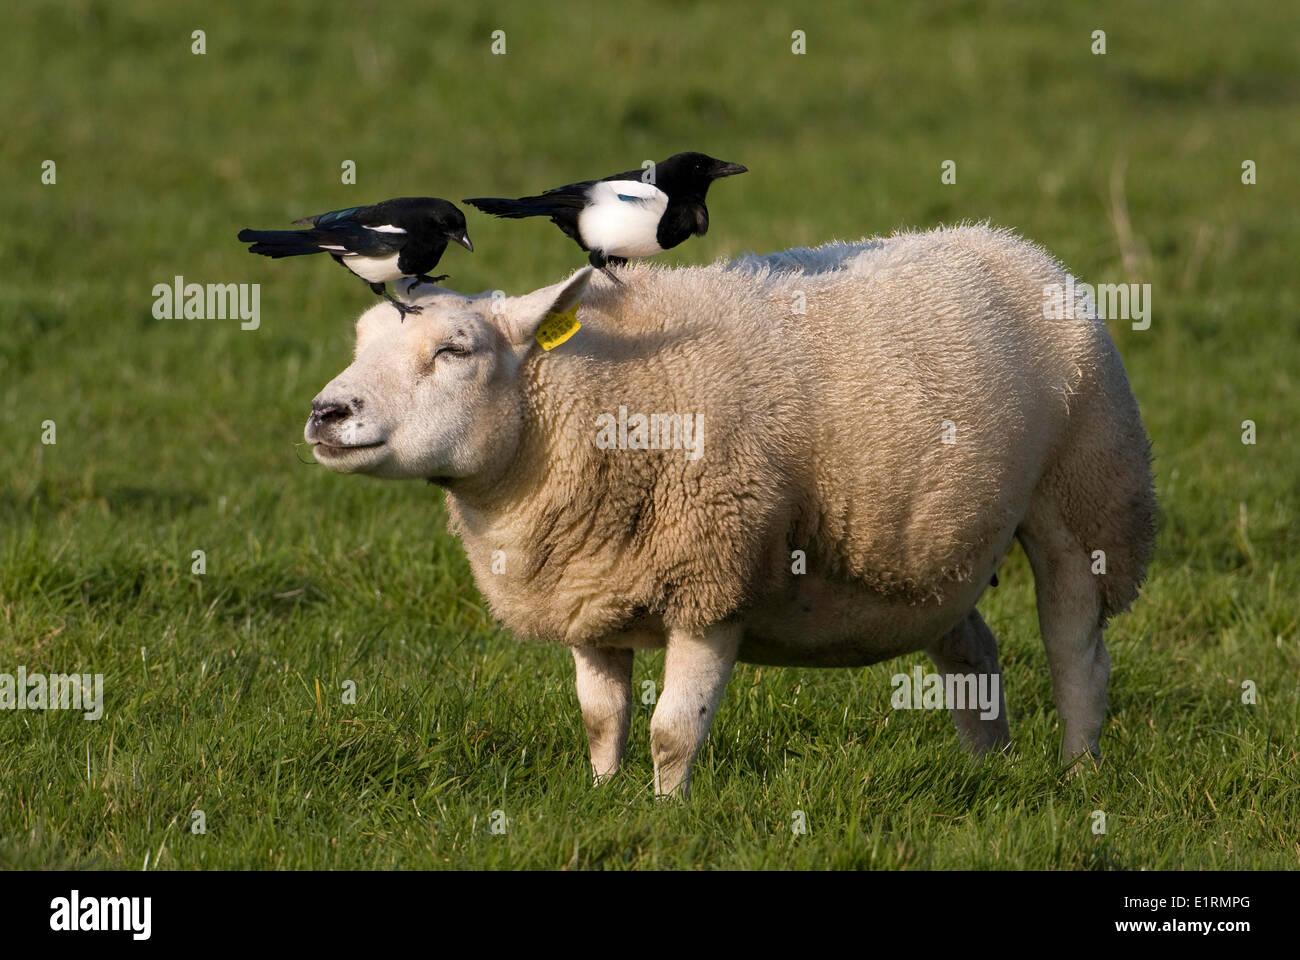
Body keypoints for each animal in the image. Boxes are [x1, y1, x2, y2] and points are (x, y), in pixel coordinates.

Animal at [305, 223, 1156, 797]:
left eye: (456, 350)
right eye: (359, 342)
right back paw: (990, 767)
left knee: (1076, 651)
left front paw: (665, 814)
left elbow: (672, 731)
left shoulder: (713, 575)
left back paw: (1079, 774)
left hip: (1085, 491)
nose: (326, 413)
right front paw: (603, 796)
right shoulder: (586, 590)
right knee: (973, 650)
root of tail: (1005, 241)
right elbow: (601, 717)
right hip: (931, 546)